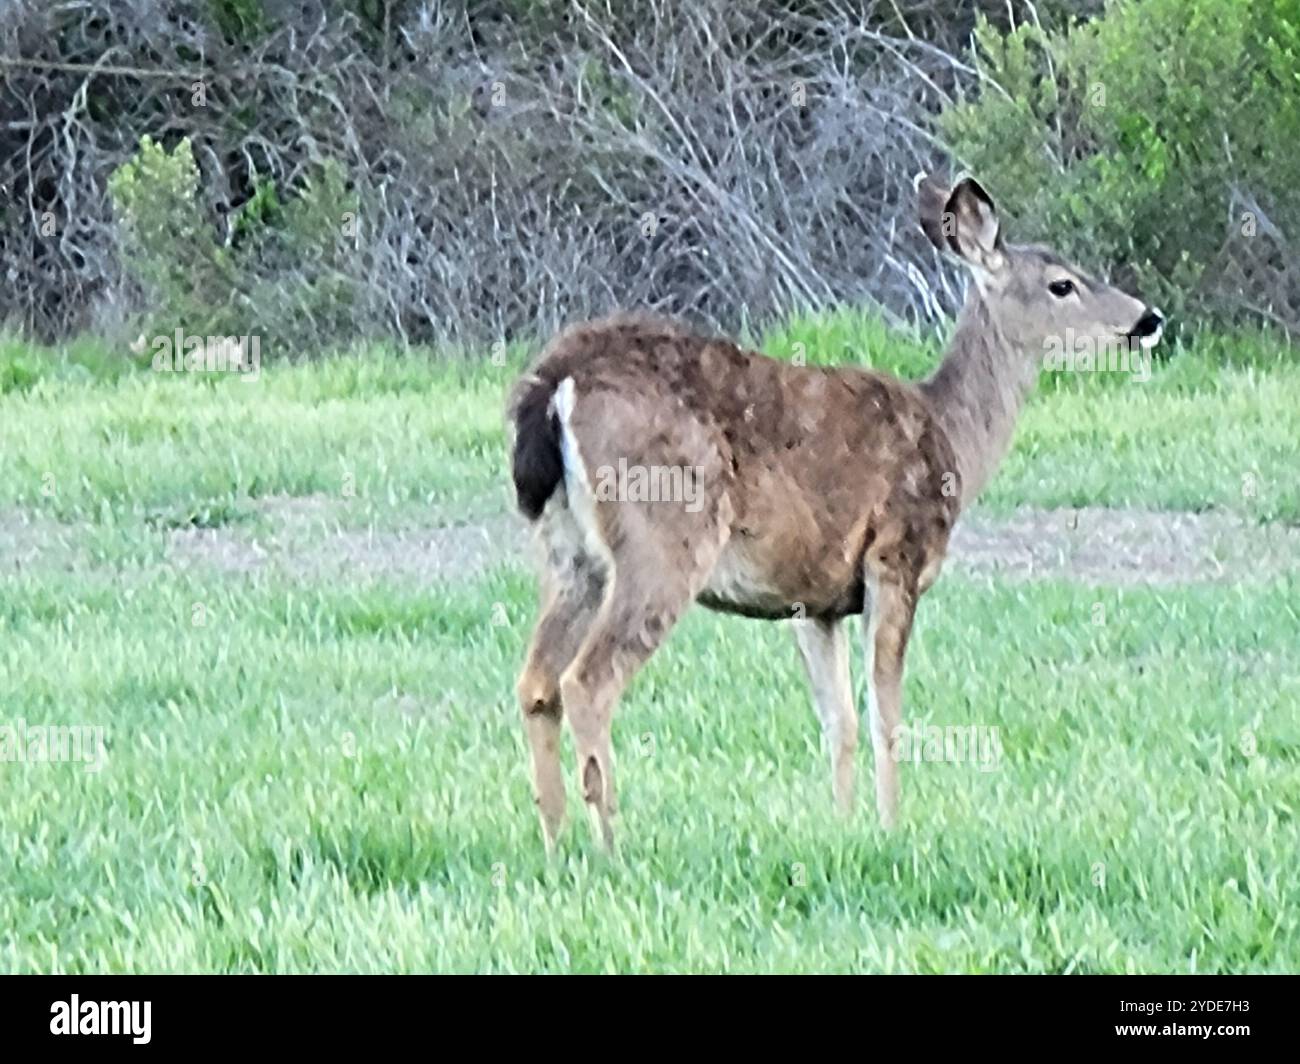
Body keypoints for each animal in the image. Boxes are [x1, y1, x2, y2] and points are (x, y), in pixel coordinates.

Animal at [507, 174, 1164, 852]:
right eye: (1063, 284)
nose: (1149, 320)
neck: (953, 438)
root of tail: (555, 383)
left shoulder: (812, 597)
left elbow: (839, 720)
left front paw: (843, 826)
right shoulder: (896, 556)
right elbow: (885, 714)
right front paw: (892, 826)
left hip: (568, 550)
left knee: (536, 683)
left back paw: (555, 843)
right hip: (663, 537)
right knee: (586, 681)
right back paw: (610, 844)